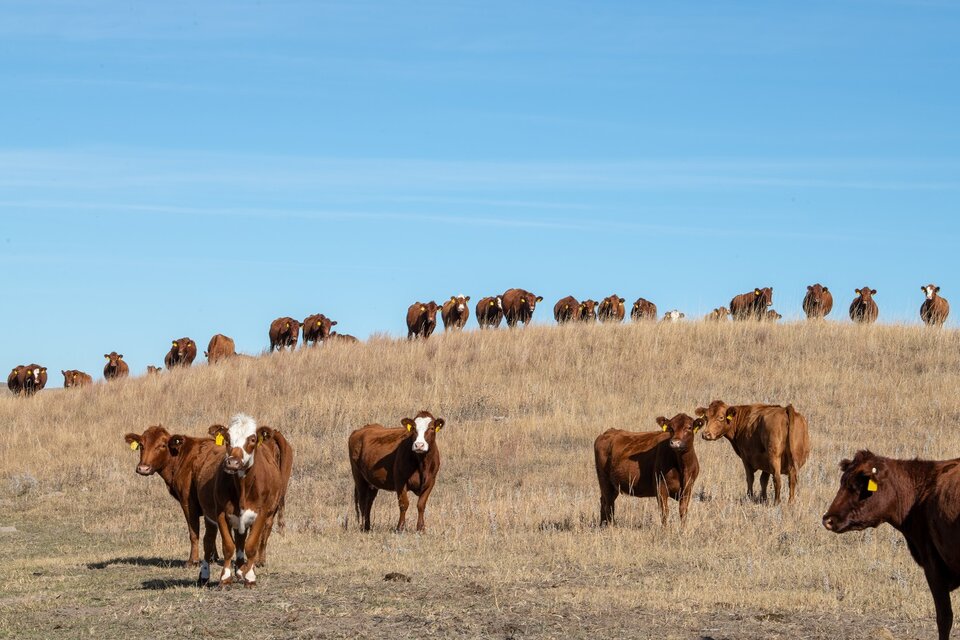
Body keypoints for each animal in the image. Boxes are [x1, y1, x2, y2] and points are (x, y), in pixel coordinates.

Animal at [124, 426, 220, 567]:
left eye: (162, 445)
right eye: (141, 444)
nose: (143, 468)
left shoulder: (187, 503)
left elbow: (194, 532)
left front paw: (193, 561)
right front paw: (213, 557)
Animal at [204, 414, 293, 587]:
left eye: (252, 439)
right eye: (227, 438)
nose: (233, 462)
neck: (242, 488)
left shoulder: (261, 513)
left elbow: (251, 545)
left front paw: (250, 577)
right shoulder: (221, 512)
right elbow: (228, 545)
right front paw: (225, 578)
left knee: (263, 532)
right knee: (239, 539)